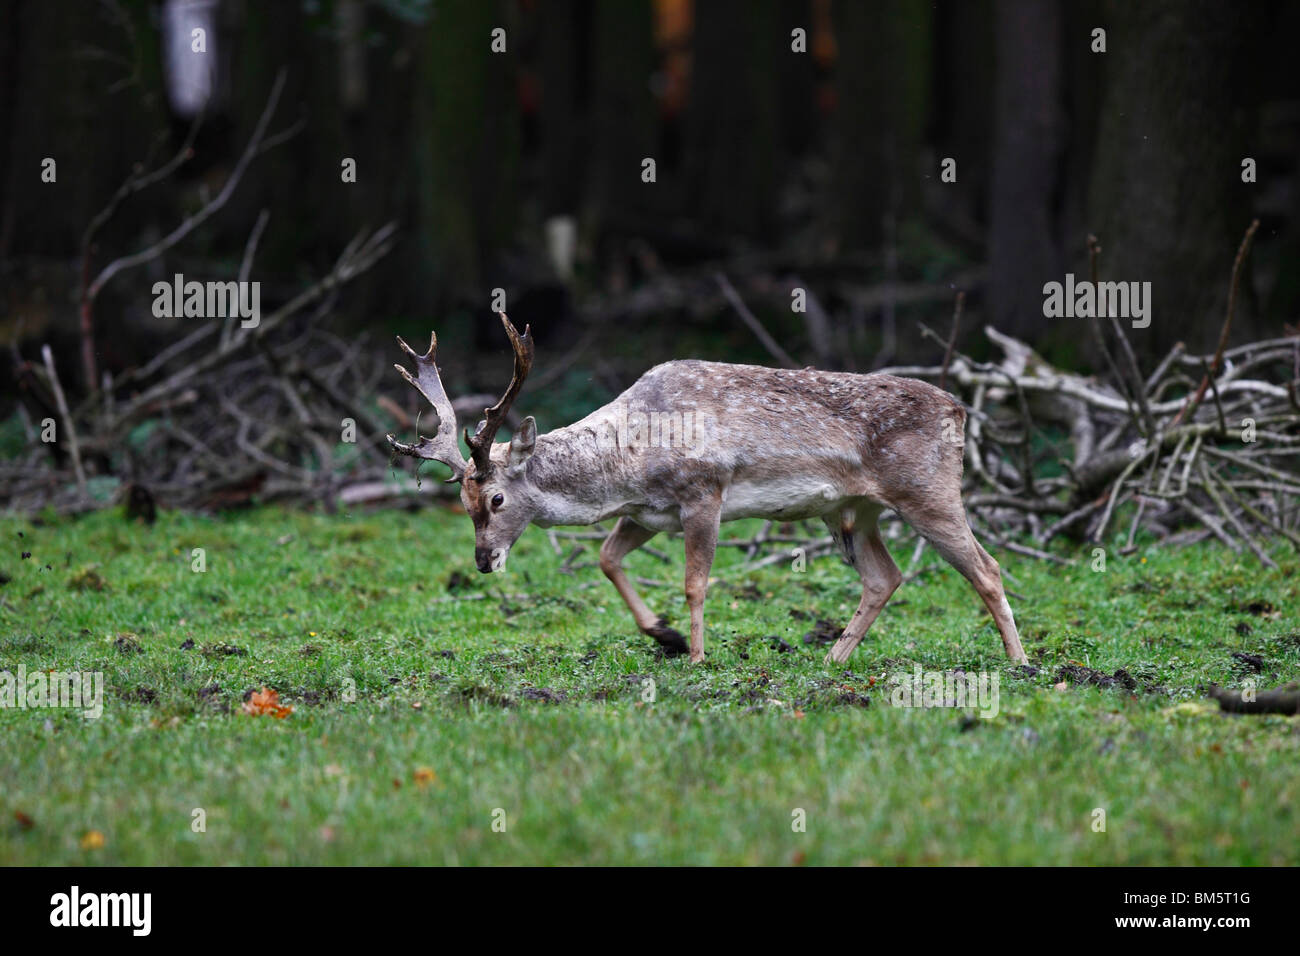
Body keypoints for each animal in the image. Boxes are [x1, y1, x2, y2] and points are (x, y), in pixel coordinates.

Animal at [387, 313, 1027, 666]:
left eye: (496, 499)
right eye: (462, 503)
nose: (483, 560)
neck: (630, 459)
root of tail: (961, 410)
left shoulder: (705, 493)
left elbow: (695, 582)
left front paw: (695, 656)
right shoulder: (647, 513)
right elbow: (605, 557)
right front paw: (663, 635)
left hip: (928, 489)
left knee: (988, 567)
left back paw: (1020, 663)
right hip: (854, 509)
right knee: (885, 576)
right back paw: (832, 659)